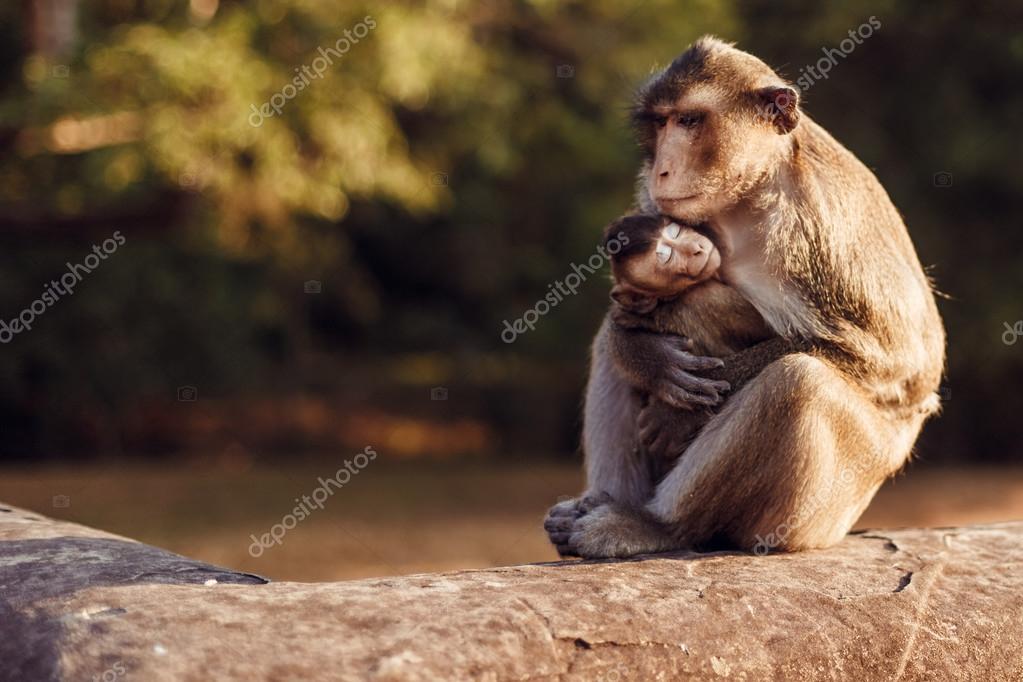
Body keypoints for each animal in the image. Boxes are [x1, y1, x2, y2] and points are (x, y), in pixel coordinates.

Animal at [544, 36, 945, 559]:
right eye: (661, 122)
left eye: (689, 121)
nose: (661, 169)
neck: (752, 192)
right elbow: (628, 321)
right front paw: (642, 354)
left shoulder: (813, 232)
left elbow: (895, 363)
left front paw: (677, 416)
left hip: (834, 500)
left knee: (798, 383)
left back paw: (658, 525)